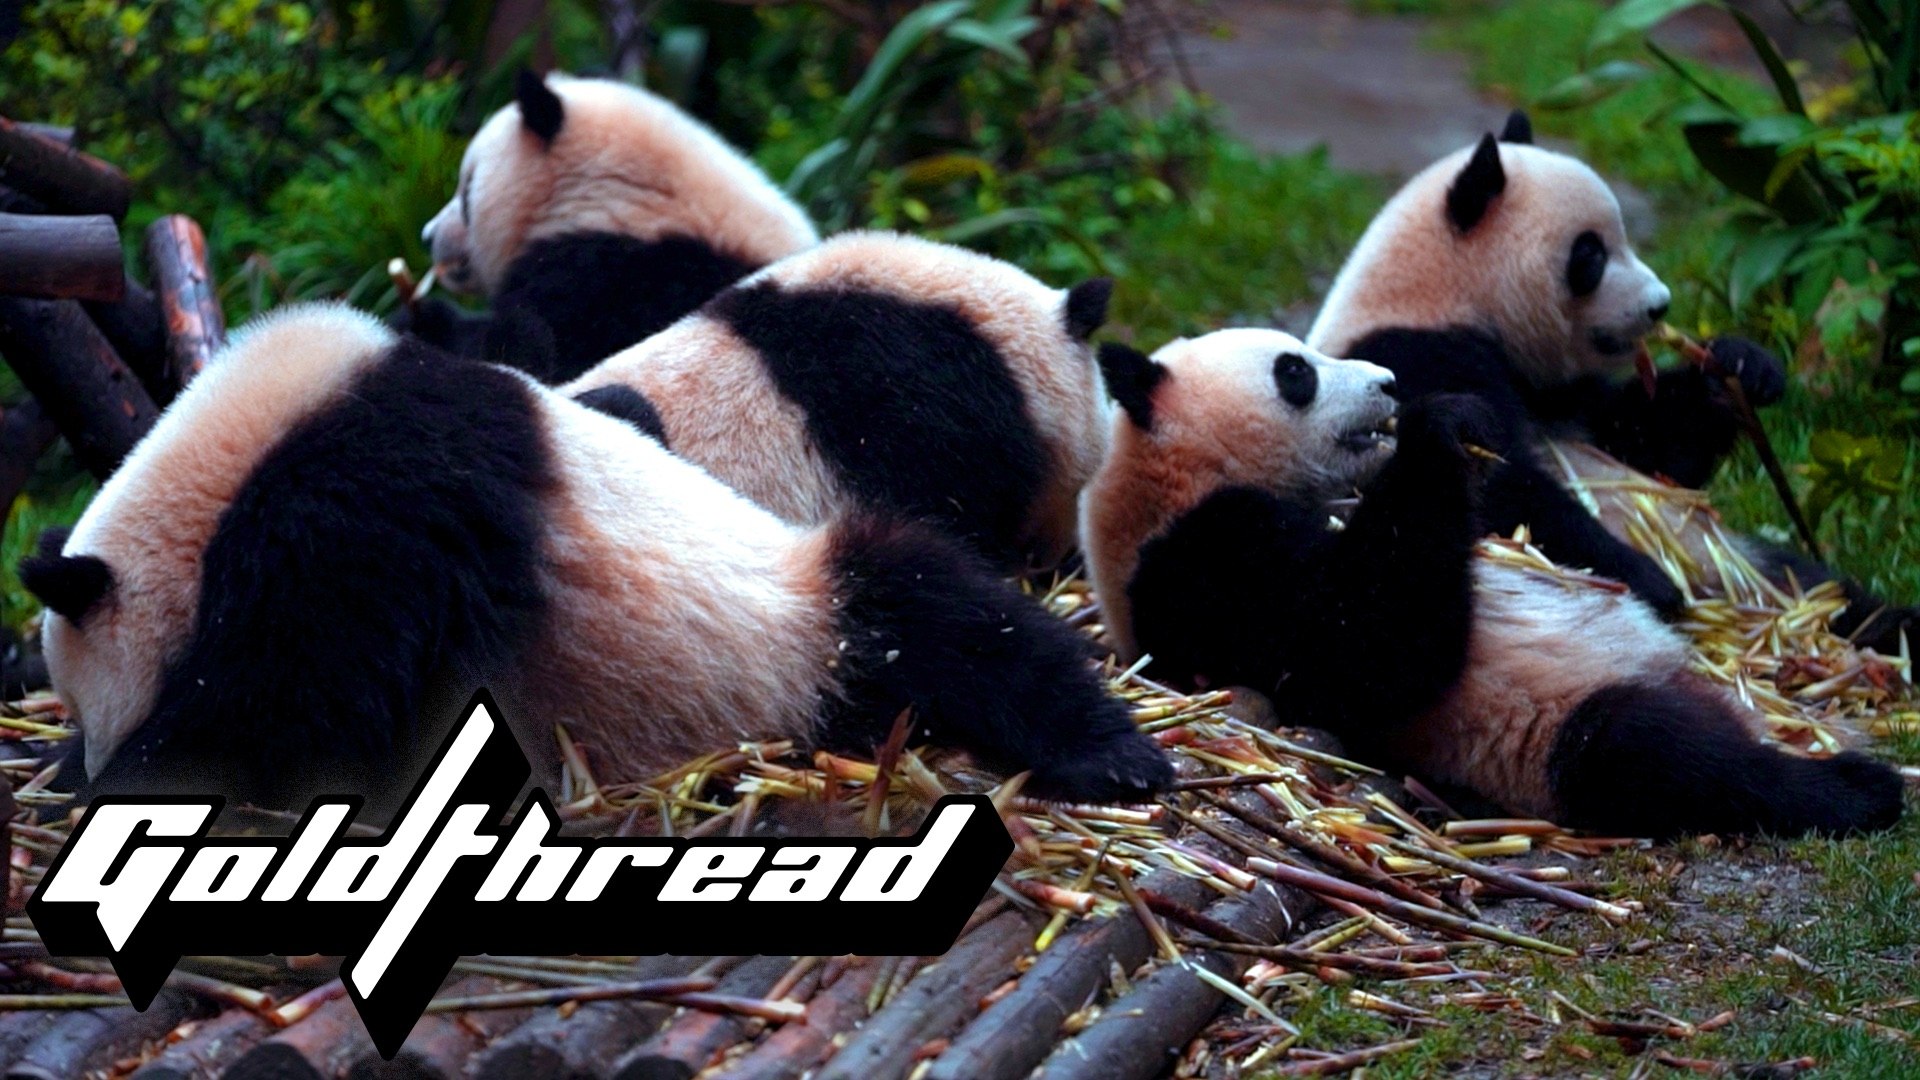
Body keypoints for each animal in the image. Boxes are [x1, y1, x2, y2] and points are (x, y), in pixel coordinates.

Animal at [18, 304, 1171, 811]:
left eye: (83, 698)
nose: (81, 747)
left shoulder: (364, 500)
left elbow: (297, 692)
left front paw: (134, 776)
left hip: (802, 613)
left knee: (949, 620)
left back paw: (1113, 754)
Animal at [1081, 327, 1904, 838]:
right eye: (1296, 372)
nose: (1389, 383)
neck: (1173, 476)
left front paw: (1731, 369)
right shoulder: (1200, 565)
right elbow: (1365, 651)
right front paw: (1442, 429)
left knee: (1843, 604)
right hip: (1556, 728)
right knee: (1665, 757)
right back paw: (1856, 788)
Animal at [1308, 113, 1917, 652]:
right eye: (1591, 254)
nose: (1659, 304)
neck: (1439, 293)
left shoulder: (1562, 392)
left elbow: (1654, 448)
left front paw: (1742, 367)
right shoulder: (1413, 352)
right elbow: (1500, 487)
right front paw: (1649, 581)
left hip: (1753, 565)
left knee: (1829, 590)